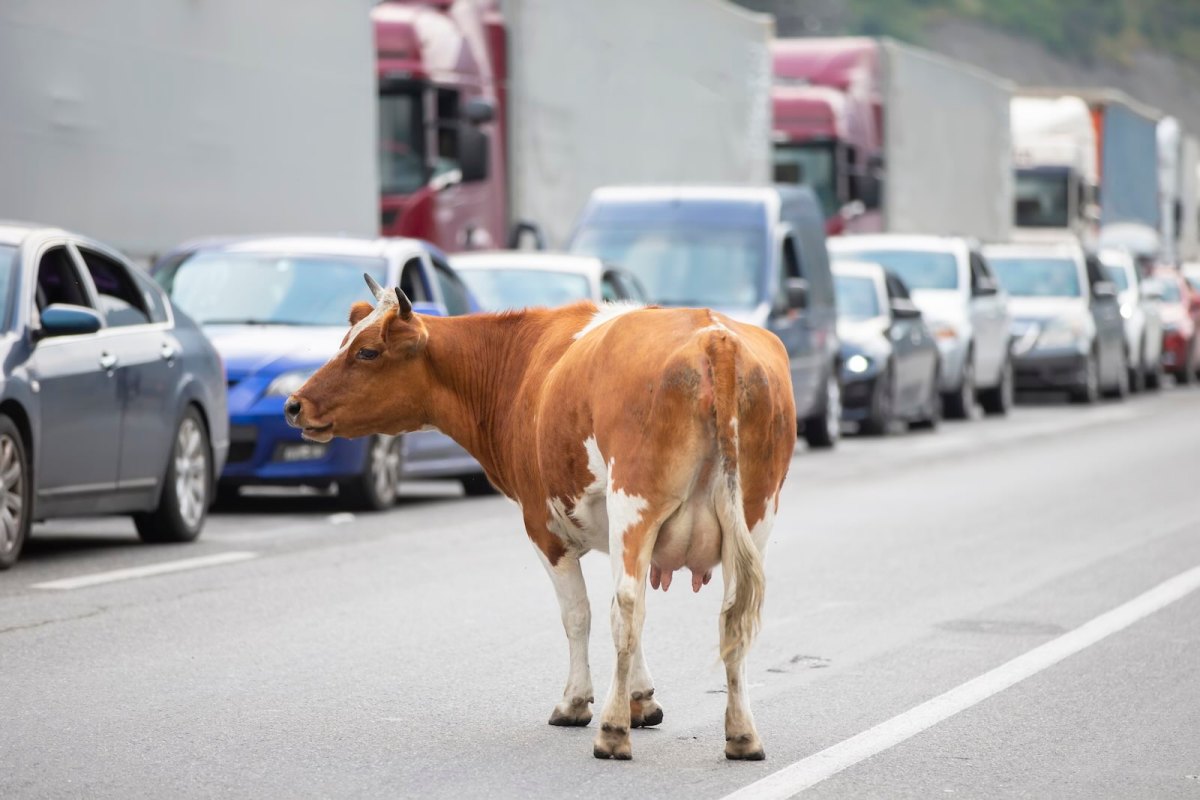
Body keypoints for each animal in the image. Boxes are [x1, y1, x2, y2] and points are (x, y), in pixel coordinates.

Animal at [284, 275, 796, 761]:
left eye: (367, 351)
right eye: (345, 341)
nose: (293, 404)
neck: (521, 364)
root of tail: (713, 335)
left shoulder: (543, 527)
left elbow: (579, 614)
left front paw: (578, 703)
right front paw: (642, 699)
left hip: (635, 504)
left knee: (627, 608)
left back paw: (613, 734)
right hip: (754, 516)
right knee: (731, 615)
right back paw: (742, 735)